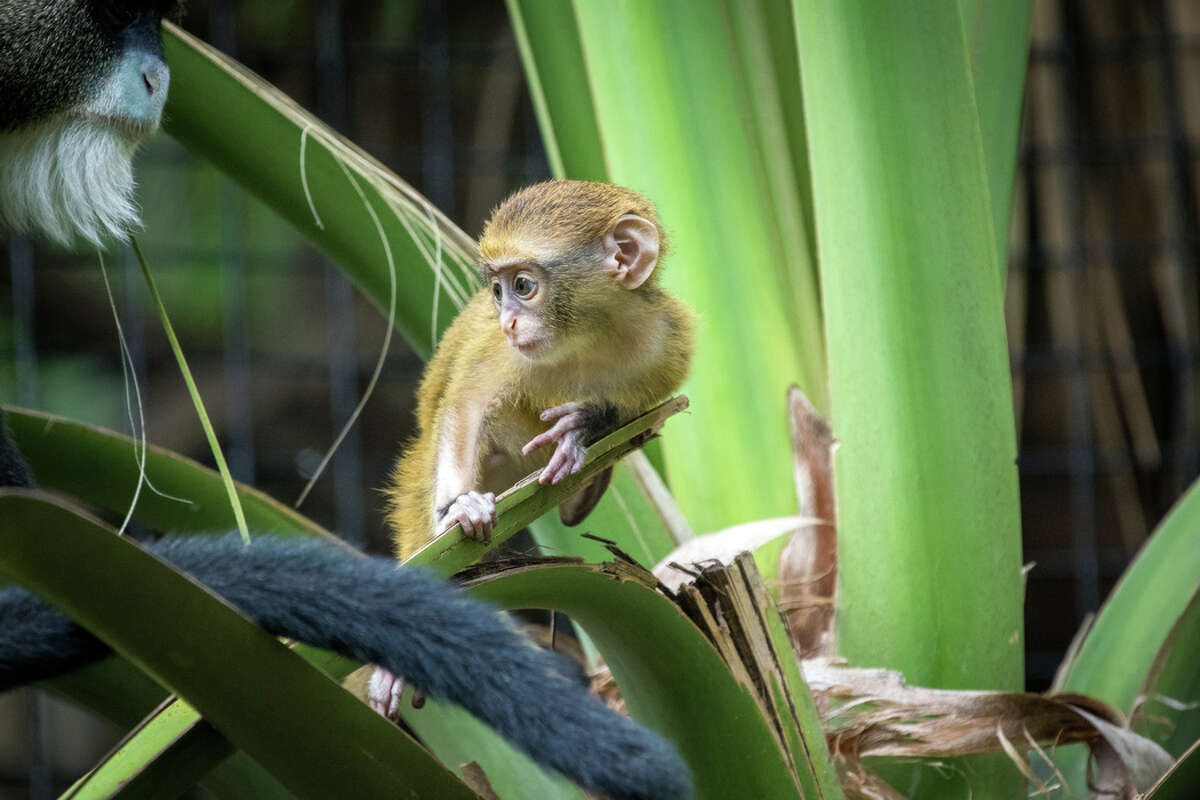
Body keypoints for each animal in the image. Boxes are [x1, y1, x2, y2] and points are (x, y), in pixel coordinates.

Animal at [0, 5, 694, 798]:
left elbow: (640, 406)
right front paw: (466, 507)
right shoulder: (498, 358)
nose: (511, 321)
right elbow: (465, 408)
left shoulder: (666, 344)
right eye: (498, 289)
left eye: (526, 286)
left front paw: (584, 428)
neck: (585, 336)